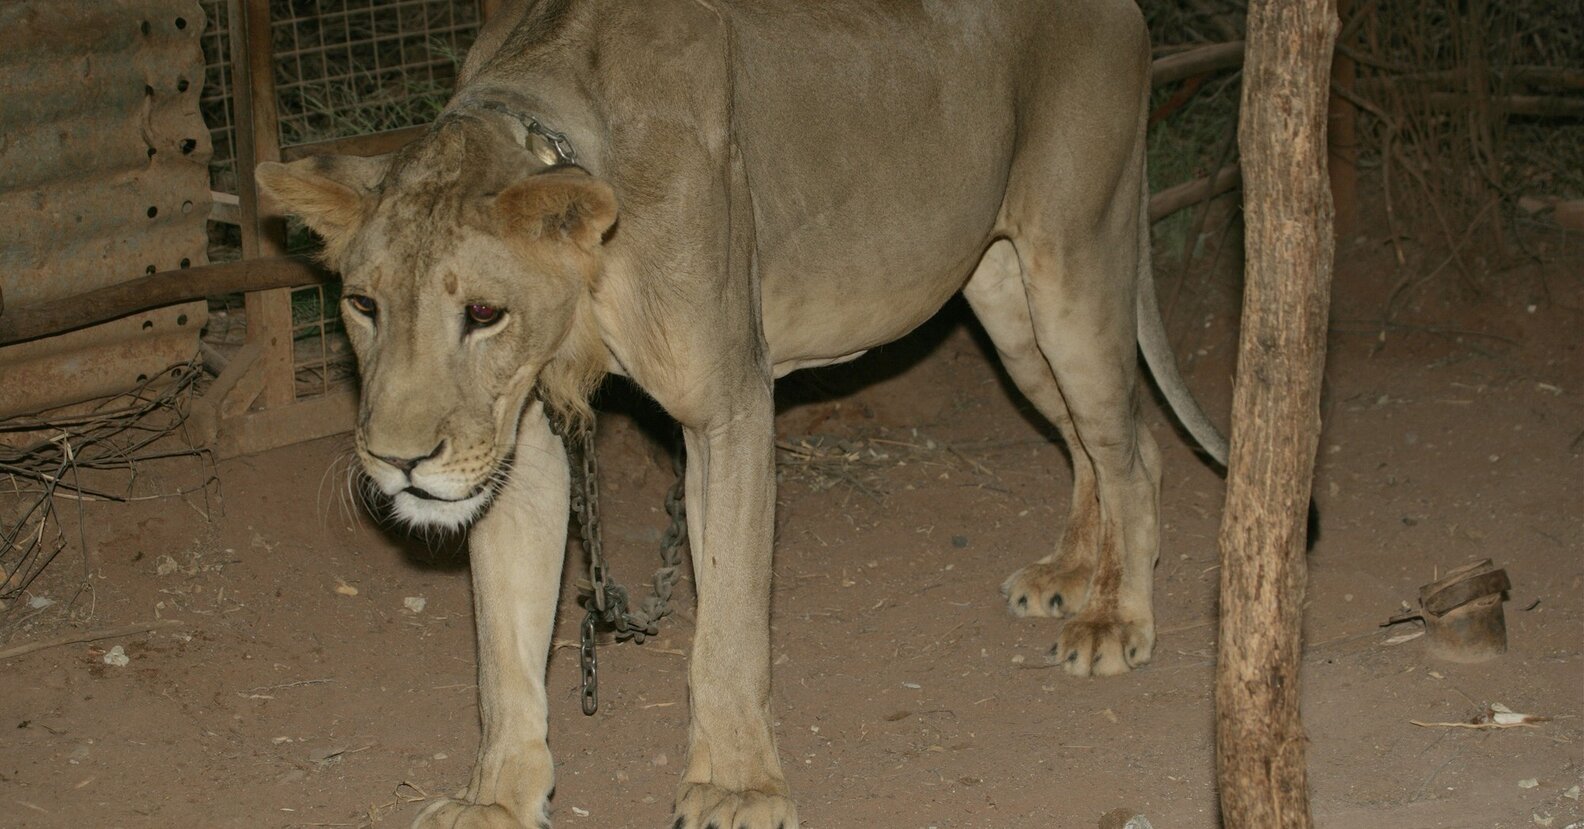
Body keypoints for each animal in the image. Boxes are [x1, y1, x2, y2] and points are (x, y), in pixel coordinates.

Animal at [256, 1, 1229, 827]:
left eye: (484, 313)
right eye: (363, 304)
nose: (398, 460)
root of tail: (1128, 12)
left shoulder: (728, 407)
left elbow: (726, 628)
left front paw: (735, 788)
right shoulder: (518, 437)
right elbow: (504, 640)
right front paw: (495, 796)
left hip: (1075, 260)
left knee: (1133, 448)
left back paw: (1115, 618)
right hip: (1003, 298)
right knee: (1087, 441)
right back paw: (1070, 572)